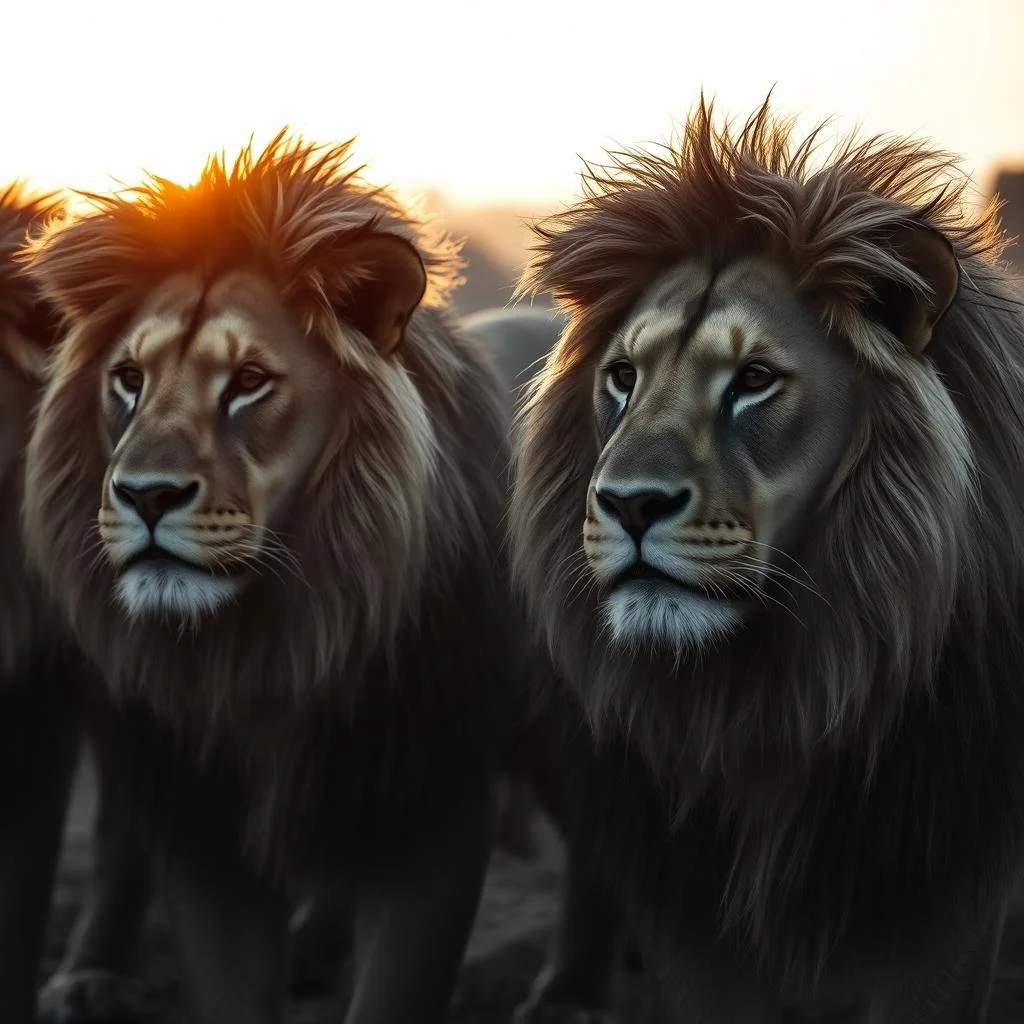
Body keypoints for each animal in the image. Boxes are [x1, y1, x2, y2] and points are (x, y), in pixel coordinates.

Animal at [19, 133, 522, 1023]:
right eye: (129, 379)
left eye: (249, 382)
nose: (145, 496)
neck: (285, 638)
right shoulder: (202, 810)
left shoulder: (438, 793)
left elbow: (396, 987)